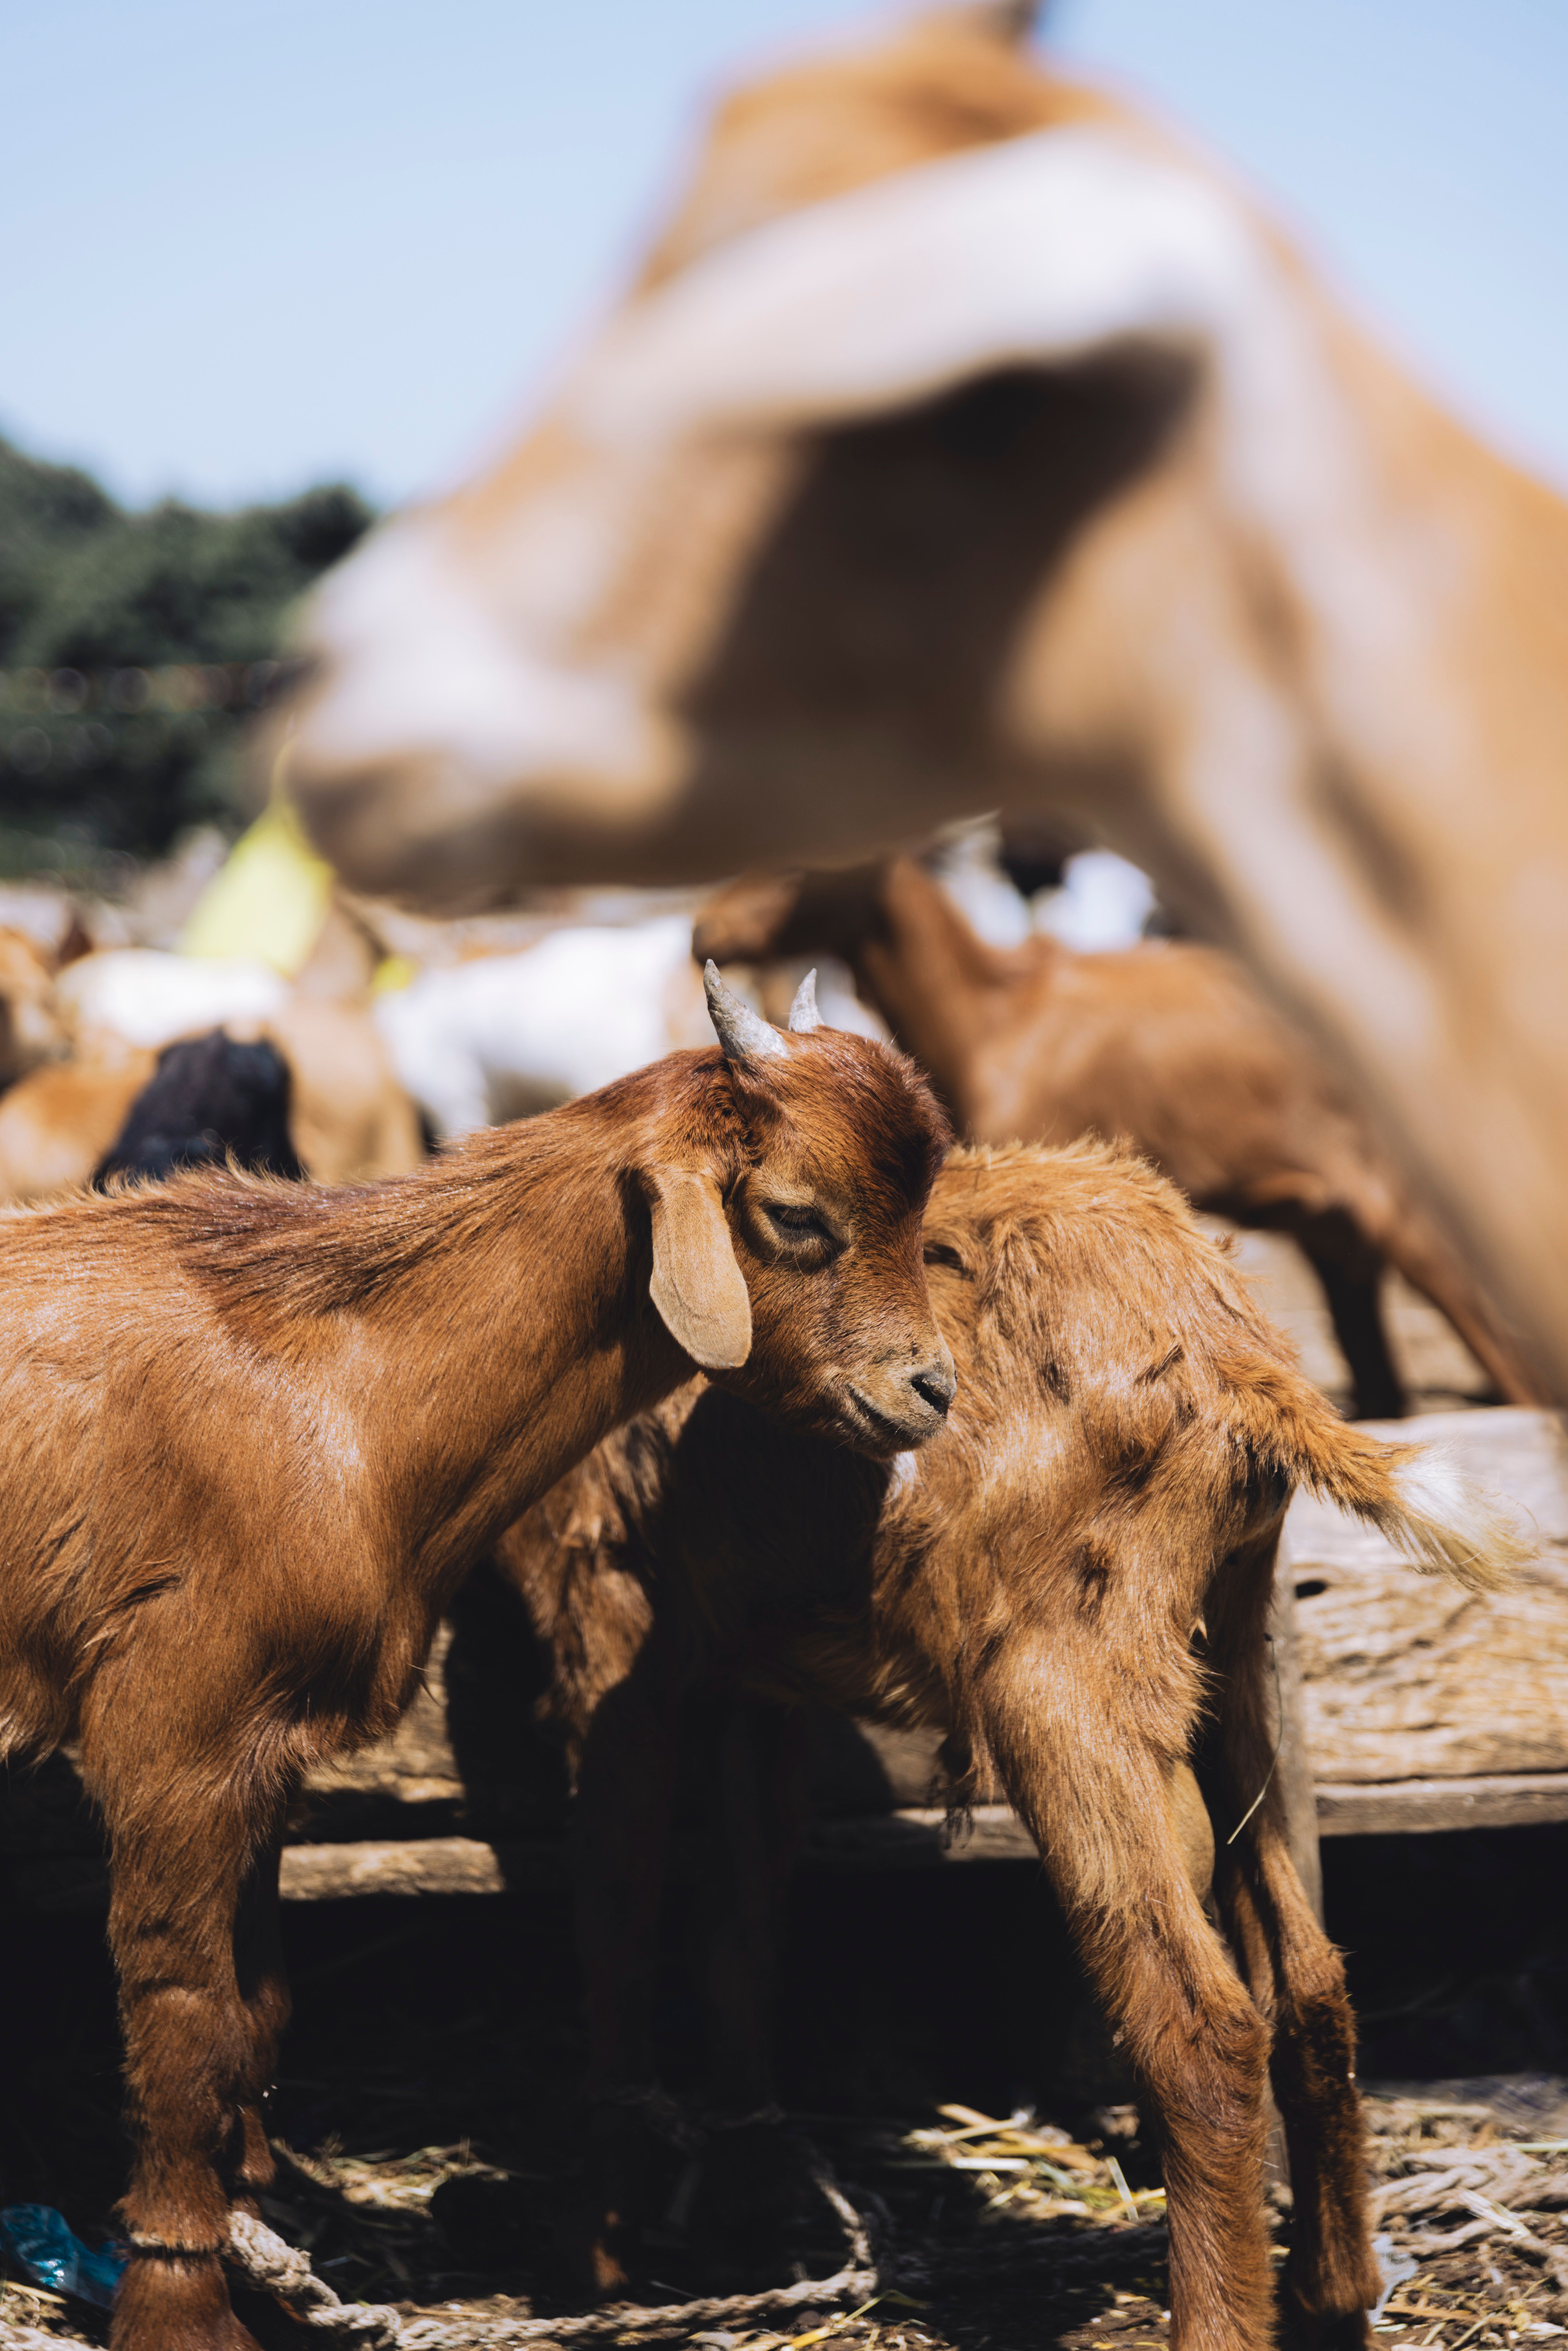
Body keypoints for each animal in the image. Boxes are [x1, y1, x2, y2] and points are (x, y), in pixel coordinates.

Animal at [0, 969, 953, 2351]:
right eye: (796, 1215)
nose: (931, 1390)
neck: (336, 1379)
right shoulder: (171, 1734)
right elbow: (179, 2020)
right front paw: (182, 2297)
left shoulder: (265, 1751)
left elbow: (254, 2012)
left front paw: (259, 2223)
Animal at [493, 1139, 1527, 2351]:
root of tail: (1232, 1345)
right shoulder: (759, 1673)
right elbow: (740, 1933)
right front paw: (745, 2197)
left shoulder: (605, 1621)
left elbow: (615, 1926)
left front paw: (600, 2258)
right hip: (1230, 1638)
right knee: (1308, 1972)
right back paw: (1331, 2291)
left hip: (1057, 1670)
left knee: (1200, 2023)